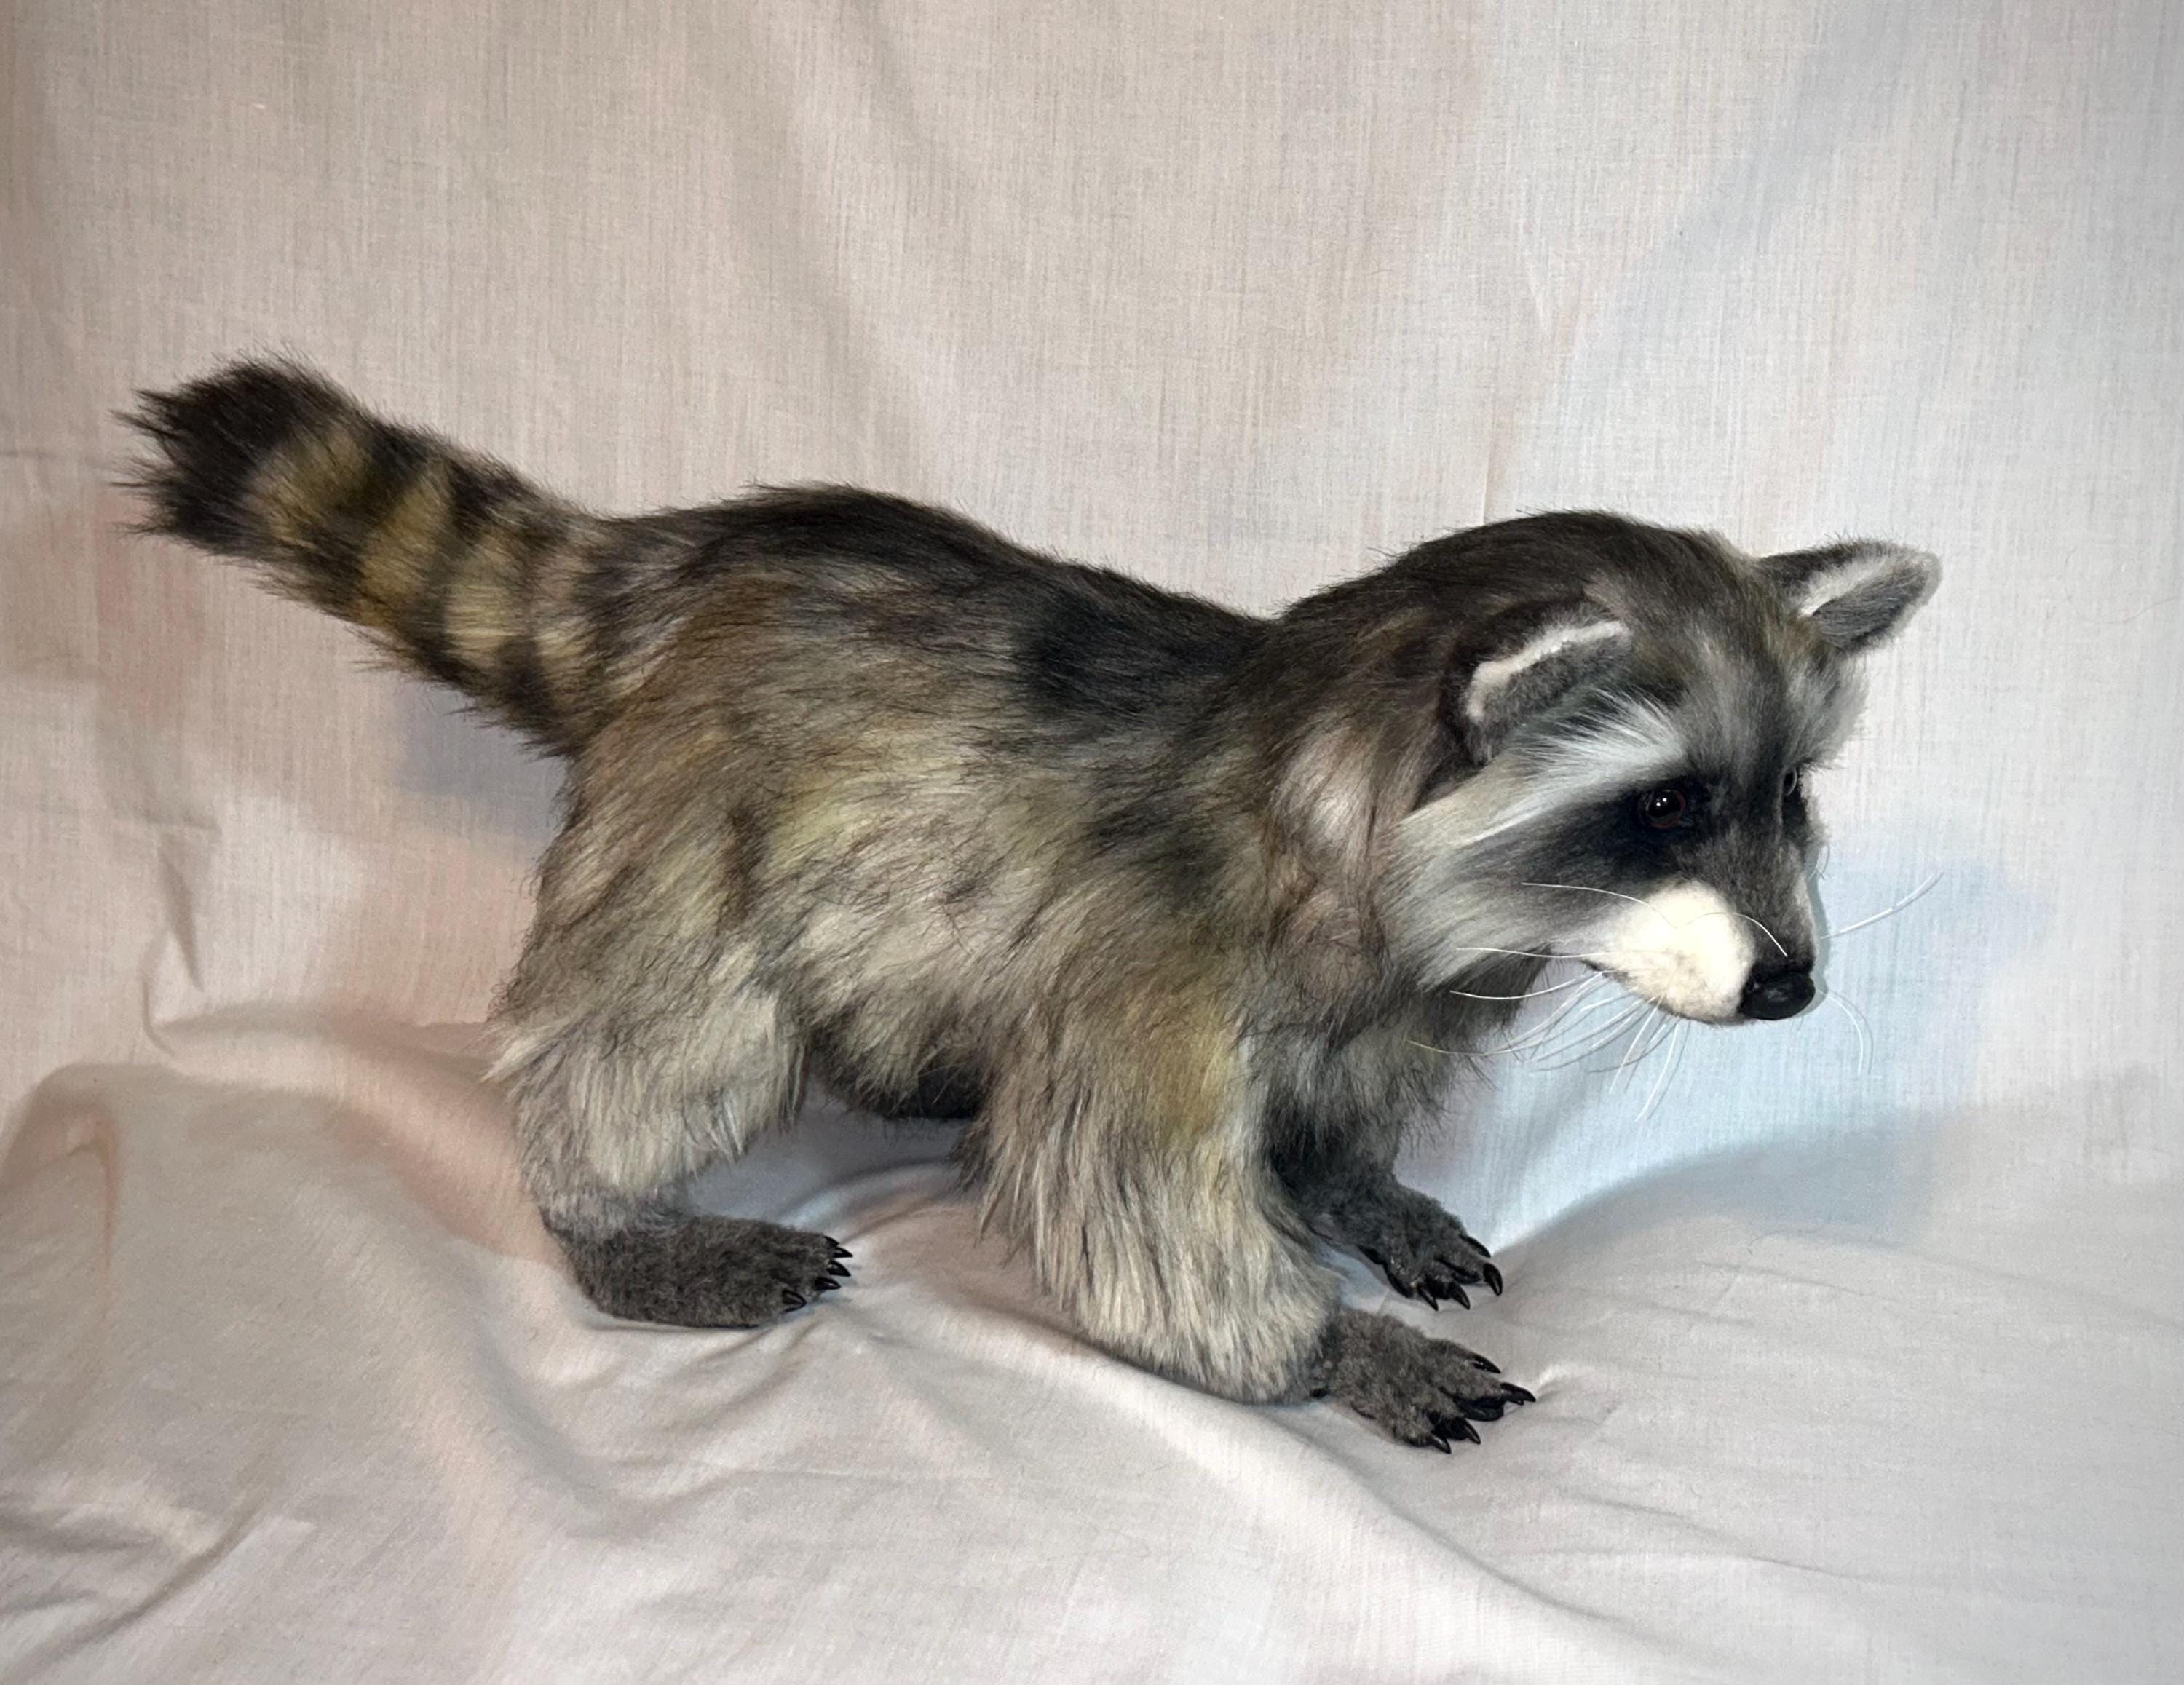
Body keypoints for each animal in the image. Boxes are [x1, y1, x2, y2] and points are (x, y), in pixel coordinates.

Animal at [127, 360, 1936, 1450]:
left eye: (1789, 796)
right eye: (1669, 805)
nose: (1793, 983)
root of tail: (693, 560)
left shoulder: (1386, 982)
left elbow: (1341, 1089)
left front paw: (1357, 1179)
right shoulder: (1151, 961)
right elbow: (1131, 1209)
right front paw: (1324, 1343)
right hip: (698, 822)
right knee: (659, 1033)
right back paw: (606, 1207)